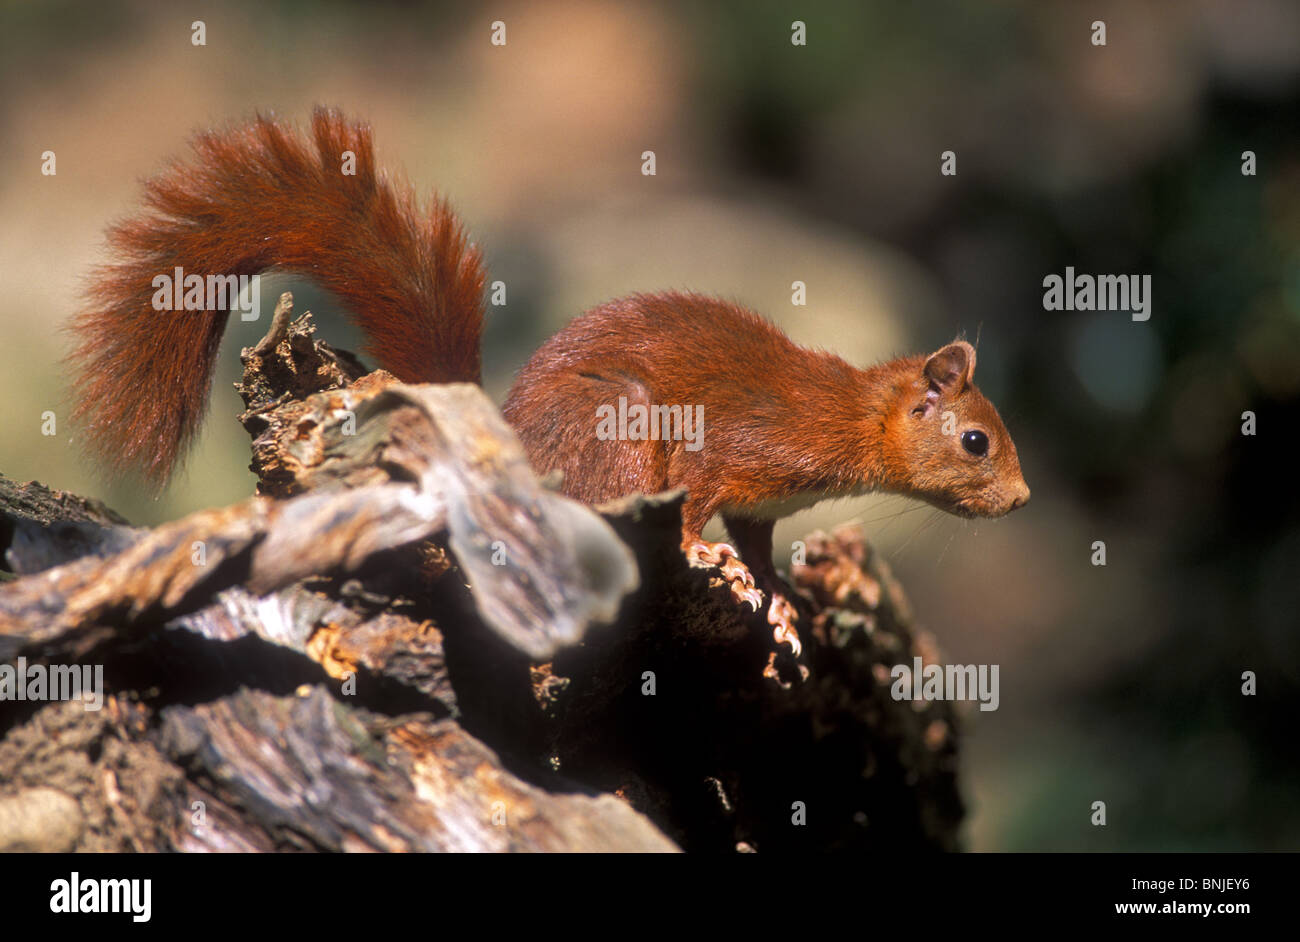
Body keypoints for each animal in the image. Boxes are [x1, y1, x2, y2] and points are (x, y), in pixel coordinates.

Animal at [67, 108, 1030, 678]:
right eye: (976, 440)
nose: (1022, 500)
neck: (850, 419)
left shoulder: (768, 500)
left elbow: (761, 547)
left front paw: (784, 603)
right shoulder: (740, 446)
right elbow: (701, 507)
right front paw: (709, 558)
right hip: (618, 428)